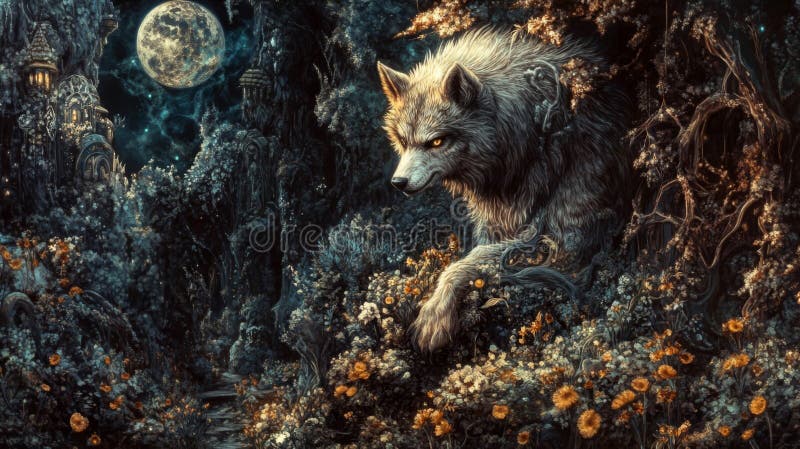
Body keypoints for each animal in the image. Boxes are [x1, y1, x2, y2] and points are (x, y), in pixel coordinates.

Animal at [377, 28, 631, 352]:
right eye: (402, 140)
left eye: (436, 141)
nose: (398, 182)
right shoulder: (496, 223)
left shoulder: (565, 244)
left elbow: (468, 262)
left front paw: (435, 316)